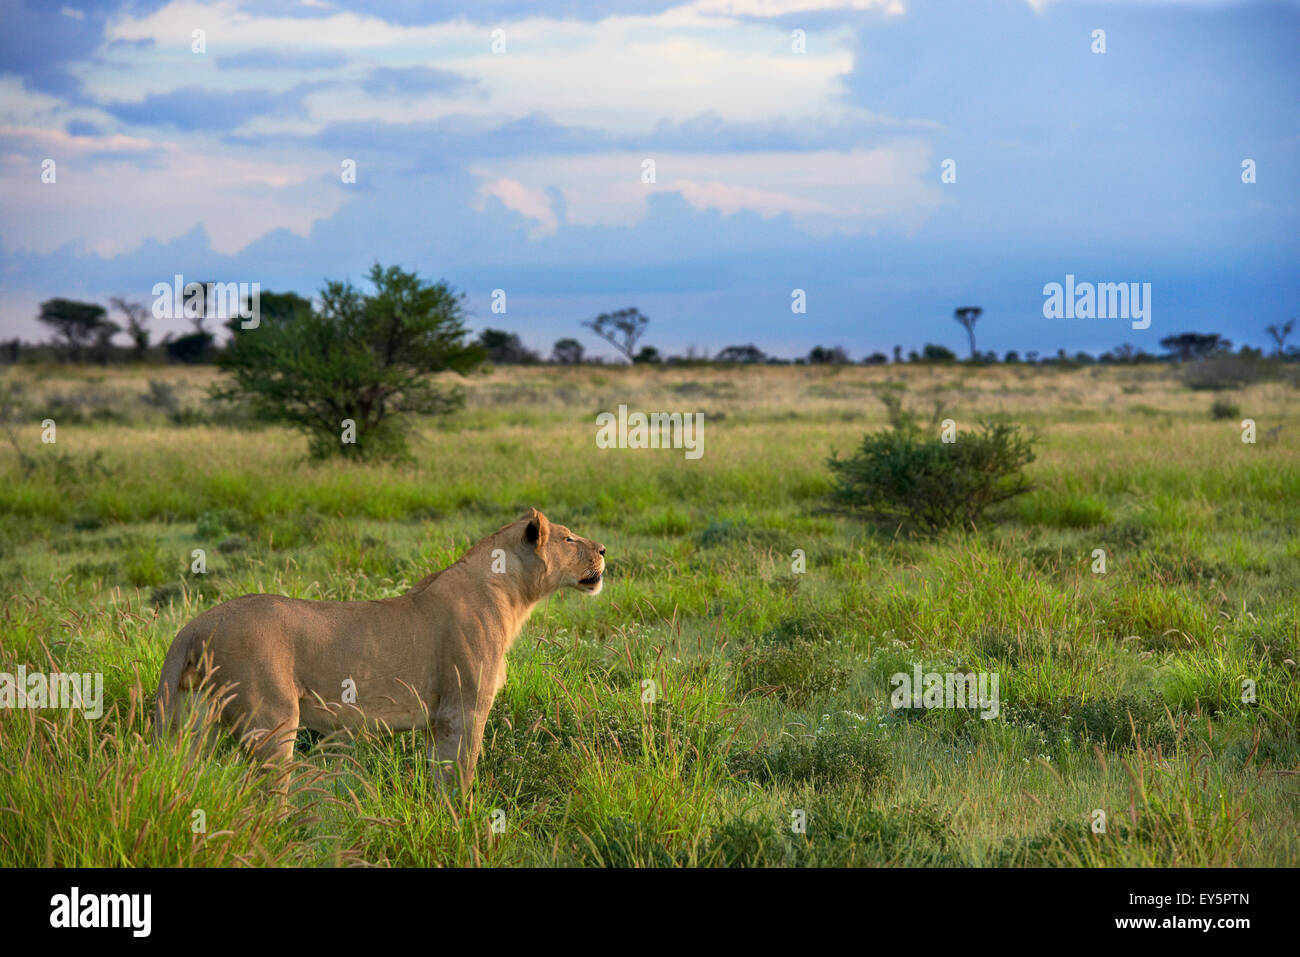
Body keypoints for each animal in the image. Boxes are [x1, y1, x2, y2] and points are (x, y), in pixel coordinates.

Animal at [153, 508, 605, 792]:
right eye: (569, 538)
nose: (603, 551)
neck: (512, 596)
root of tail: (197, 624)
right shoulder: (464, 710)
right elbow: (461, 780)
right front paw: (465, 826)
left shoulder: (438, 721)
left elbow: (439, 780)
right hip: (272, 721)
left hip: (193, 722)